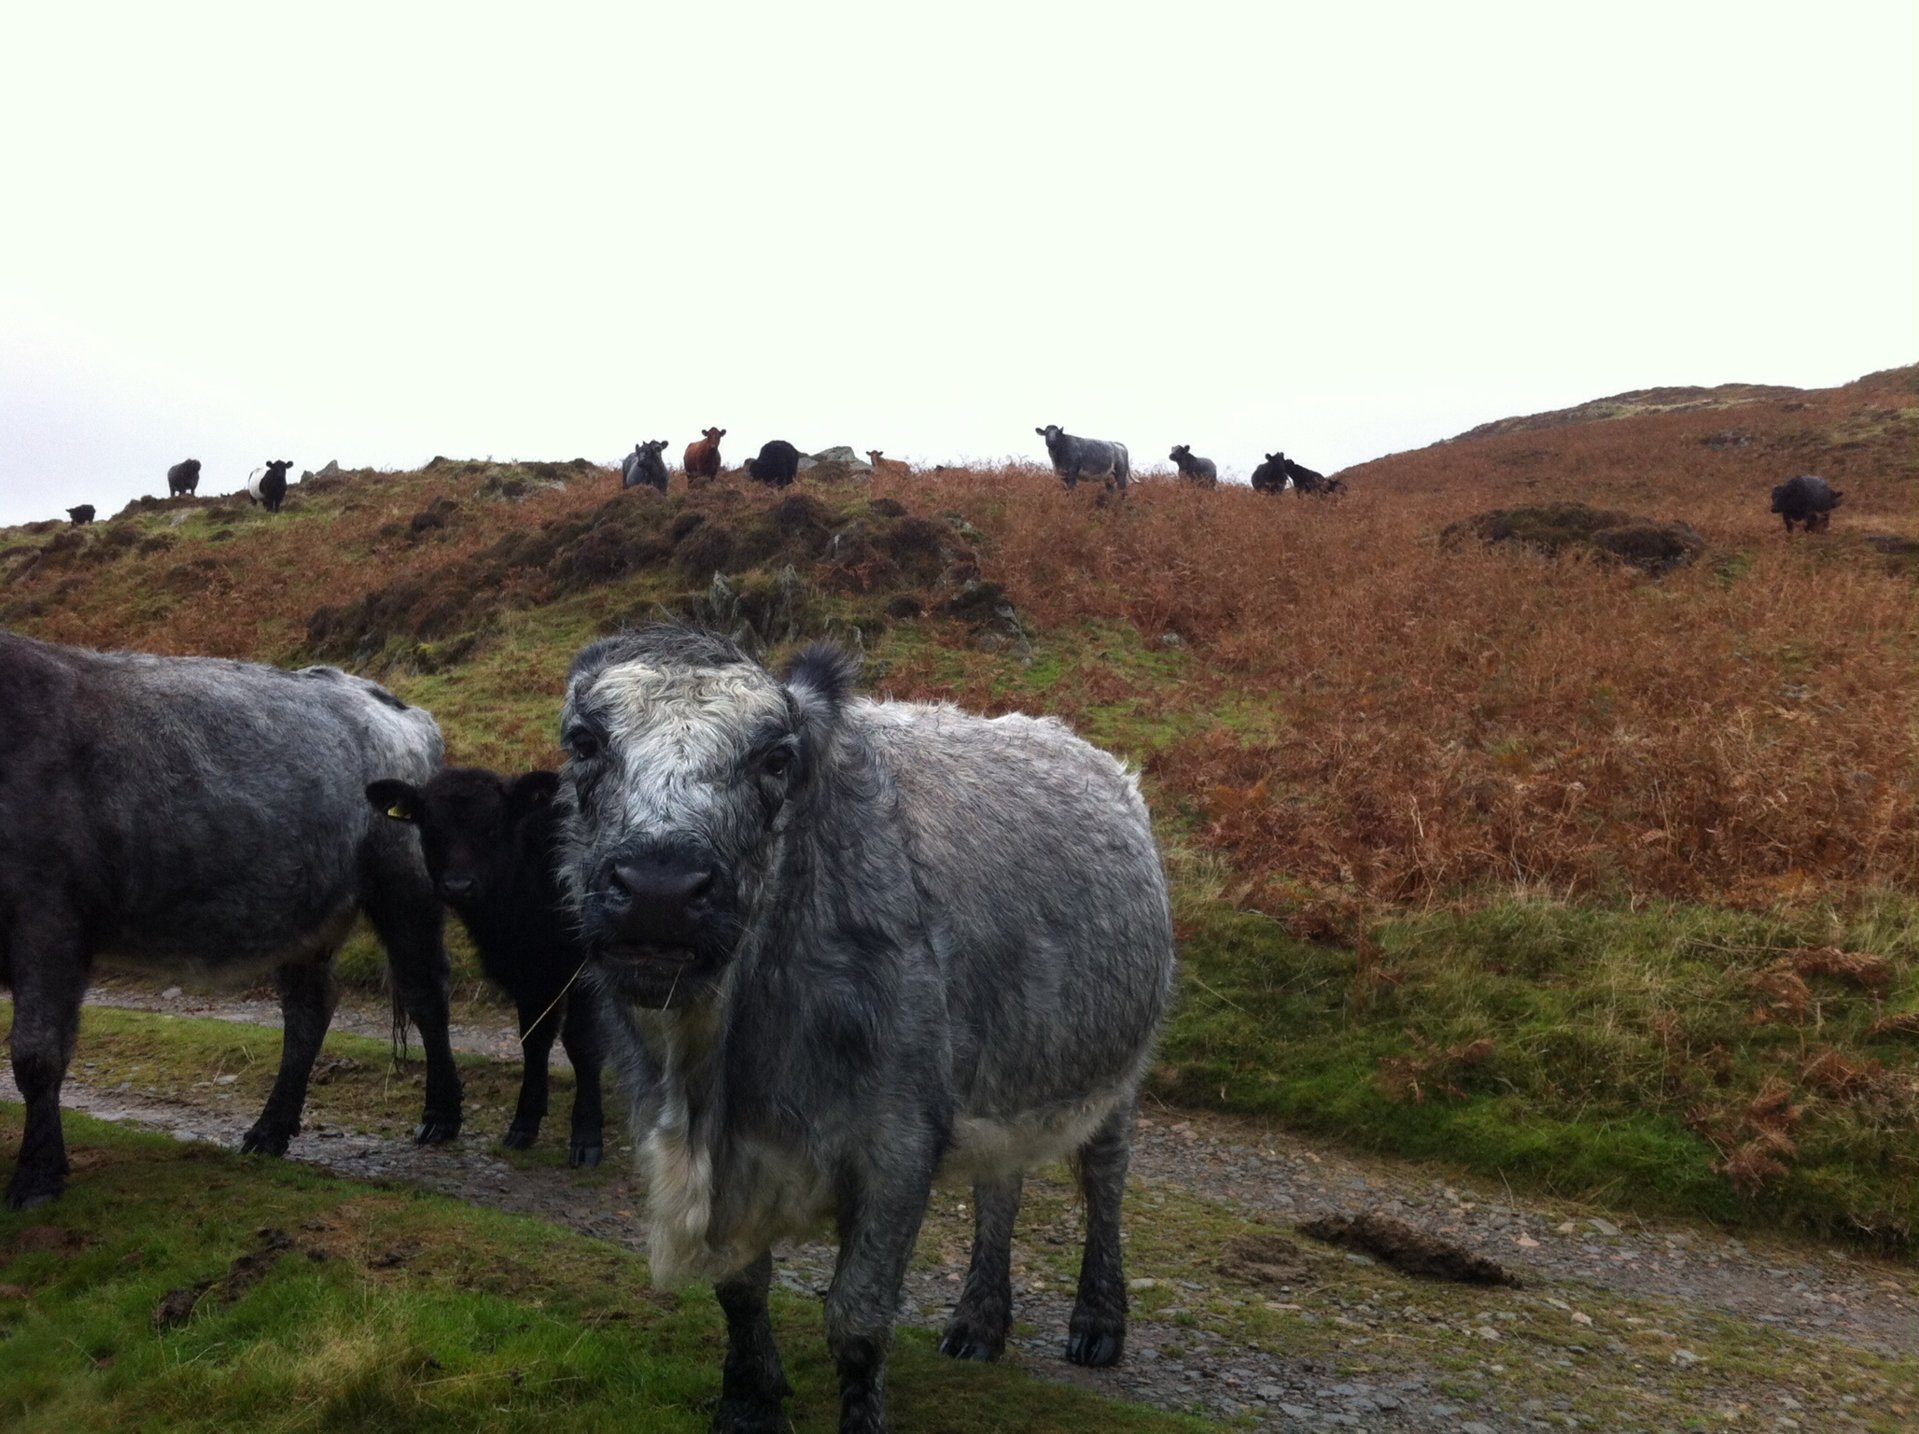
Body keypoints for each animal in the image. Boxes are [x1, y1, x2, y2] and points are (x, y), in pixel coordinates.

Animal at [0, 631, 463, 1210]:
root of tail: (397, 707)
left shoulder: (46, 919)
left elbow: (37, 1054)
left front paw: (36, 1177)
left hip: (405, 890)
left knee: (425, 991)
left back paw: (441, 1116)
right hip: (311, 914)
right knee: (309, 1009)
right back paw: (270, 1129)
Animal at [365, 768, 607, 1167]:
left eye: (492, 827)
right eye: (431, 829)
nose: (458, 885)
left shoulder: (585, 970)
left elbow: (582, 1043)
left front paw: (587, 1135)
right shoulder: (529, 974)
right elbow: (534, 1042)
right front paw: (524, 1123)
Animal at [555, 624, 1175, 1434]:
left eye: (776, 758)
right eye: (583, 742)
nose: (660, 889)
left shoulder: (899, 1144)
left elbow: (856, 1319)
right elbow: (740, 1288)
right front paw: (749, 1401)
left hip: (1117, 1072)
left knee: (1105, 1178)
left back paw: (1099, 1320)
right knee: (999, 1188)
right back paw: (978, 1321)